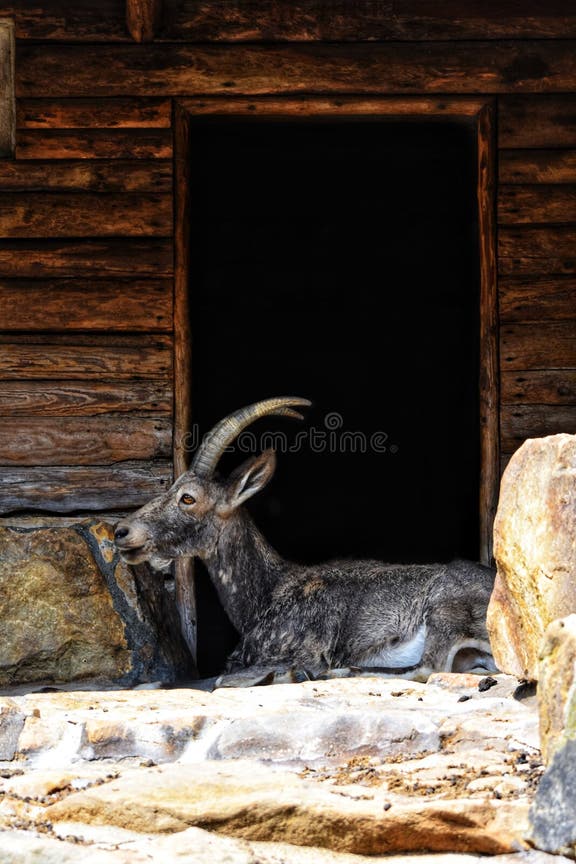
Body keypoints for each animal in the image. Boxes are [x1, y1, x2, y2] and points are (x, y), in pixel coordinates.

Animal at [114, 397, 496, 685]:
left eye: (188, 498)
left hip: (445, 611)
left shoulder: (295, 649)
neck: (268, 591)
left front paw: (292, 673)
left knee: (427, 667)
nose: (122, 532)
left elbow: (221, 678)